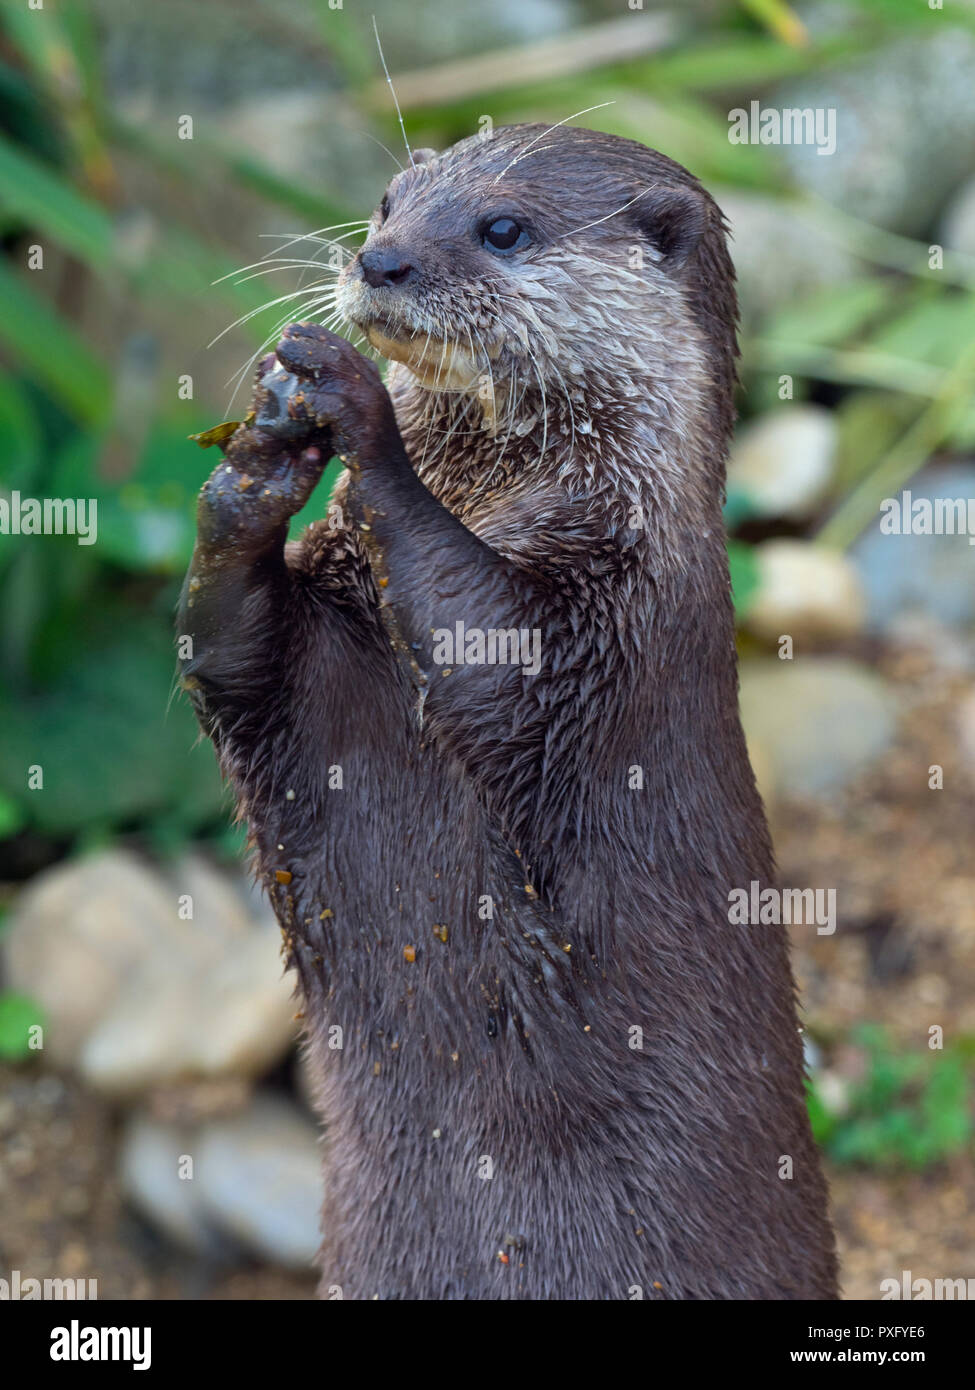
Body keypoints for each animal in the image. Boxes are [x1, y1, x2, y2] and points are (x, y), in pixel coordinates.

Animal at [178, 124, 838, 1299]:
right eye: (387, 198)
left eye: (502, 227)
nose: (381, 260)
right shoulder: (307, 659)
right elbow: (233, 650)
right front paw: (258, 458)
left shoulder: (606, 628)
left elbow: (485, 640)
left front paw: (352, 403)